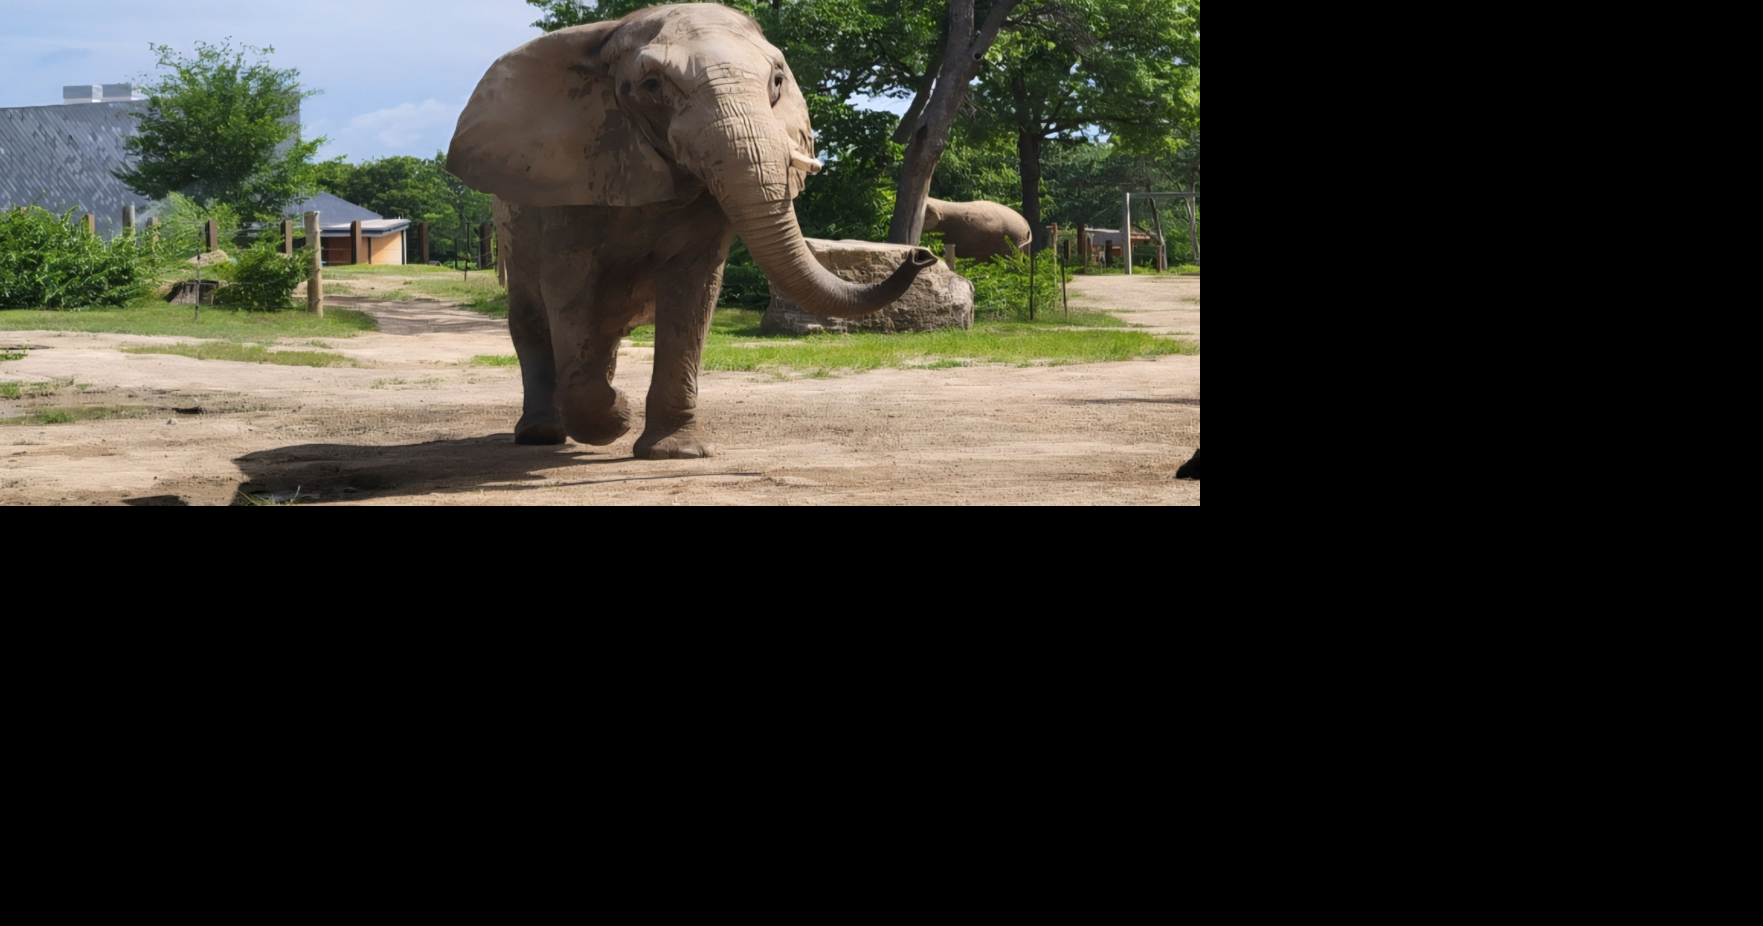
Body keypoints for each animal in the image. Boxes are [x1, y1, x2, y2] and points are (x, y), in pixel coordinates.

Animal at [449, 4, 934, 458]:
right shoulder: (571, 177)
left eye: (778, 81)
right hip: (512, 226)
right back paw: (542, 434)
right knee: (532, 317)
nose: (921, 255)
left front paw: (673, 451)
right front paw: (619, 418)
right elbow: (569, 287)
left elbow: (693, 291)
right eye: (651, 85)